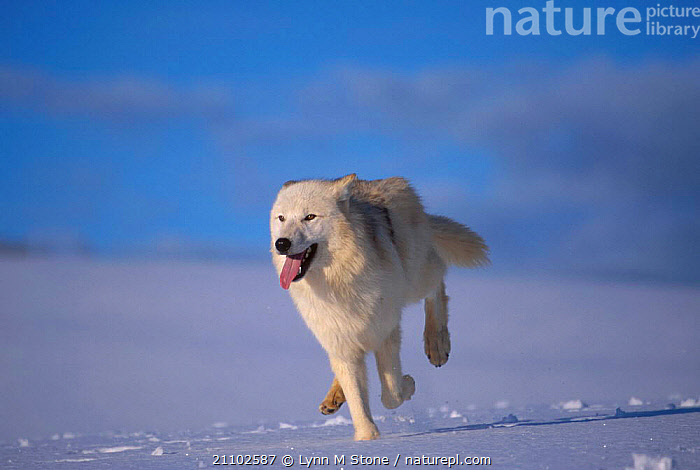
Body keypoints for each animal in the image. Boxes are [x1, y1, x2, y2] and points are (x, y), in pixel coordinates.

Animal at [270, 174, 488, 440]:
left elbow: (392, 394)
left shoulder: (385, 331)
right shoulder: (339, 339)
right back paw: (333, 398)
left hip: (415, 280)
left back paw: (437, 345)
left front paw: (408, 384)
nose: (282, 243)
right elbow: (356, 397)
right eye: (282, 218)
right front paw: (367, 437)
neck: (337, 283)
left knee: (438, 281)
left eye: (310, 217)